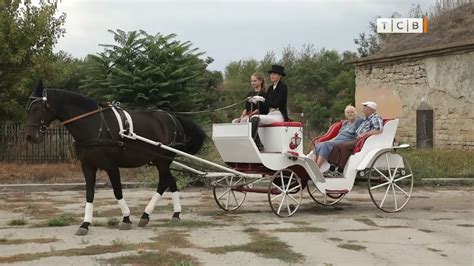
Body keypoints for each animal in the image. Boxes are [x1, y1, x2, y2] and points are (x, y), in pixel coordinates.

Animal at [25, 82, 205, 235]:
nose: (30, 136)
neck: (94, 124)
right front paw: (85, 224)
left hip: (163, 160)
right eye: (29, 108)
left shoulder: (111, 166)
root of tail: (173, 118)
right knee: (170, 181)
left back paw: (153, 214)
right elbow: (89, 193)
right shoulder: (87, 166)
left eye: (38, 107)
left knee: (164, 182)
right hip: (159, 160)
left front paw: (126, 218)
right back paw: (168, 214)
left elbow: (117, 191)